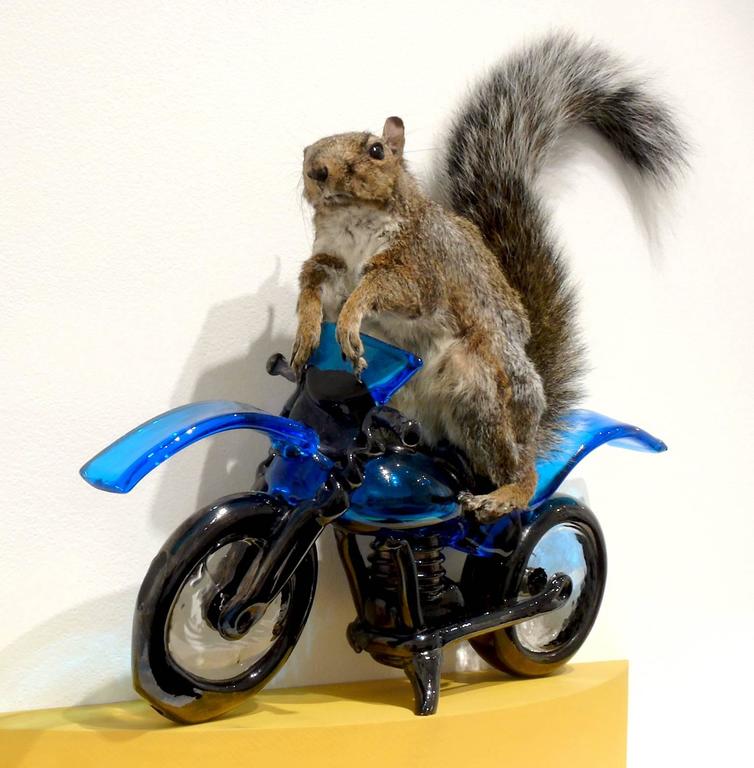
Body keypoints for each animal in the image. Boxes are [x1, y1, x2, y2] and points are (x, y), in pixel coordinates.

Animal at [291, 34, 686, 522]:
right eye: (307, 151)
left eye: (376, 150)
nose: (317, 171)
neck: (353, 224)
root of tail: (533, 426)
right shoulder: (328, 262)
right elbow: (313, 291)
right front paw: (307, 333)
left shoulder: (423, 264)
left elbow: (385, 291)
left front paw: (350, 322)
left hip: (480, 390)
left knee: (523, 474)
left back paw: (503, 496)